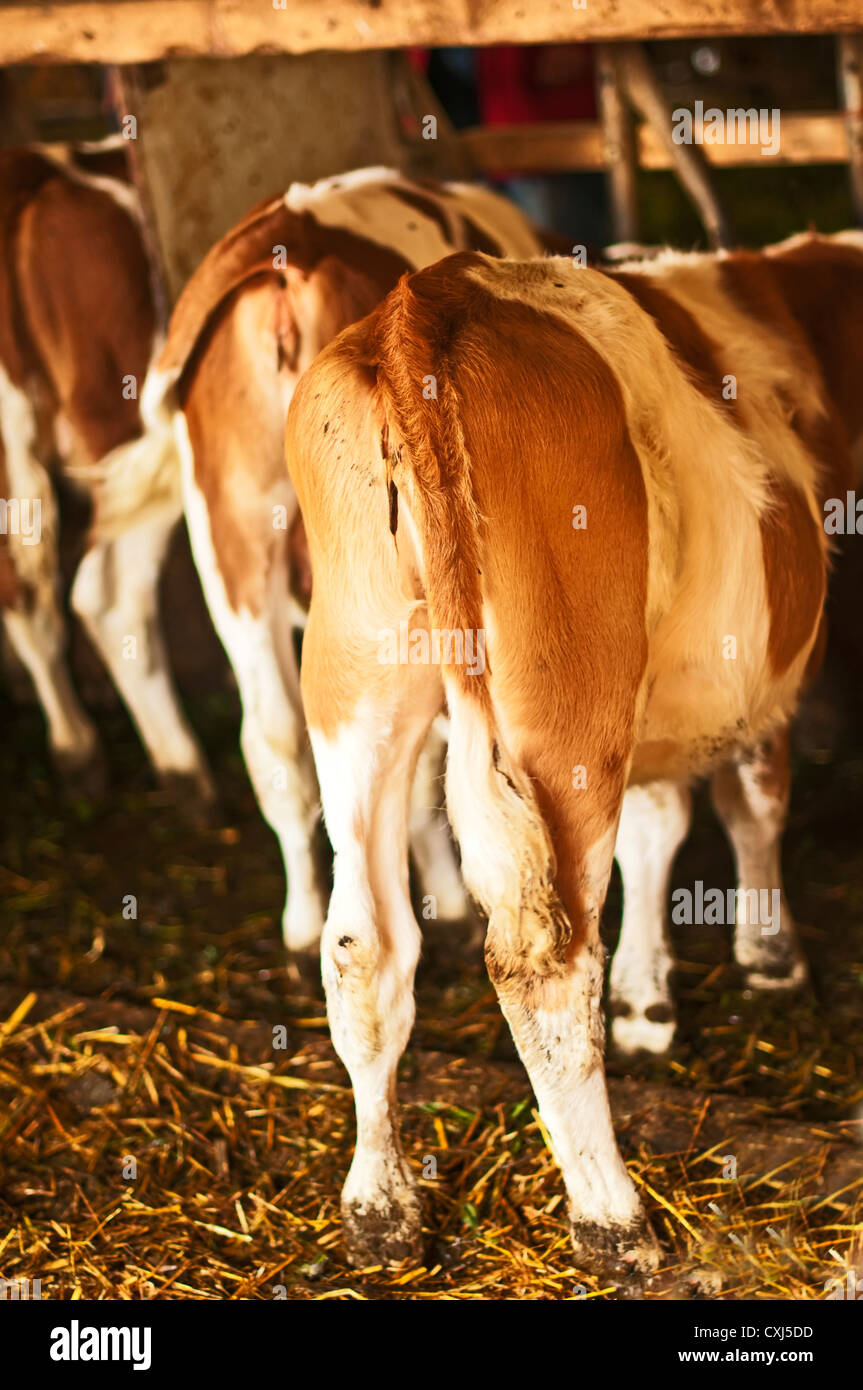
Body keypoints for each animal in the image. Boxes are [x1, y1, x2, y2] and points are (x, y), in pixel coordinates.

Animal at [0, 143, 212, 804]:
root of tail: (38, 172)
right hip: (133, 435)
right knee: (106, 595)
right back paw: (183, 770)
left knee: (23, 588)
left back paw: (75, 745)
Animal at [284, 232, 862, 1285]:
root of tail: (419, 308)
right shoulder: (763, 682)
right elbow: (753, 799)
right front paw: (768, 957)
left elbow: (659, 827)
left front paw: (646, 1000)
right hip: (566, 713)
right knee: (542, 962)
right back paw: (613, 1221)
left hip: (356, 679)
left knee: (361, 946)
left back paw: (378, 1210)